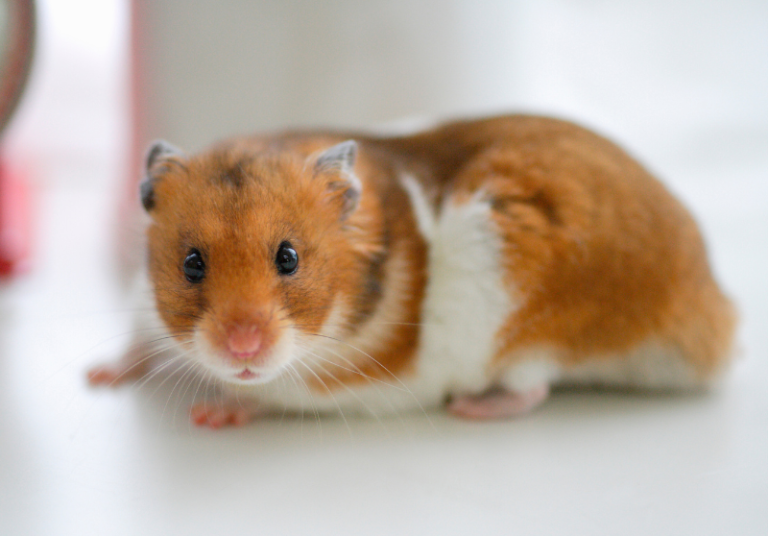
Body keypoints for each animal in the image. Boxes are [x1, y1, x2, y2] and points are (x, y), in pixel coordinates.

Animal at [88, 115, 736, 427]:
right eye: (191, 263)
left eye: (288, 257)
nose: (242, 347)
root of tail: (713, 308)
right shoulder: (142, 302)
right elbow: (137, 338)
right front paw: (96, 378)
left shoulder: (356, 386)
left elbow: (275, 395)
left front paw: (211, 414)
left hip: (527, 323)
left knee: (531, 387)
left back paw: (473, 409)